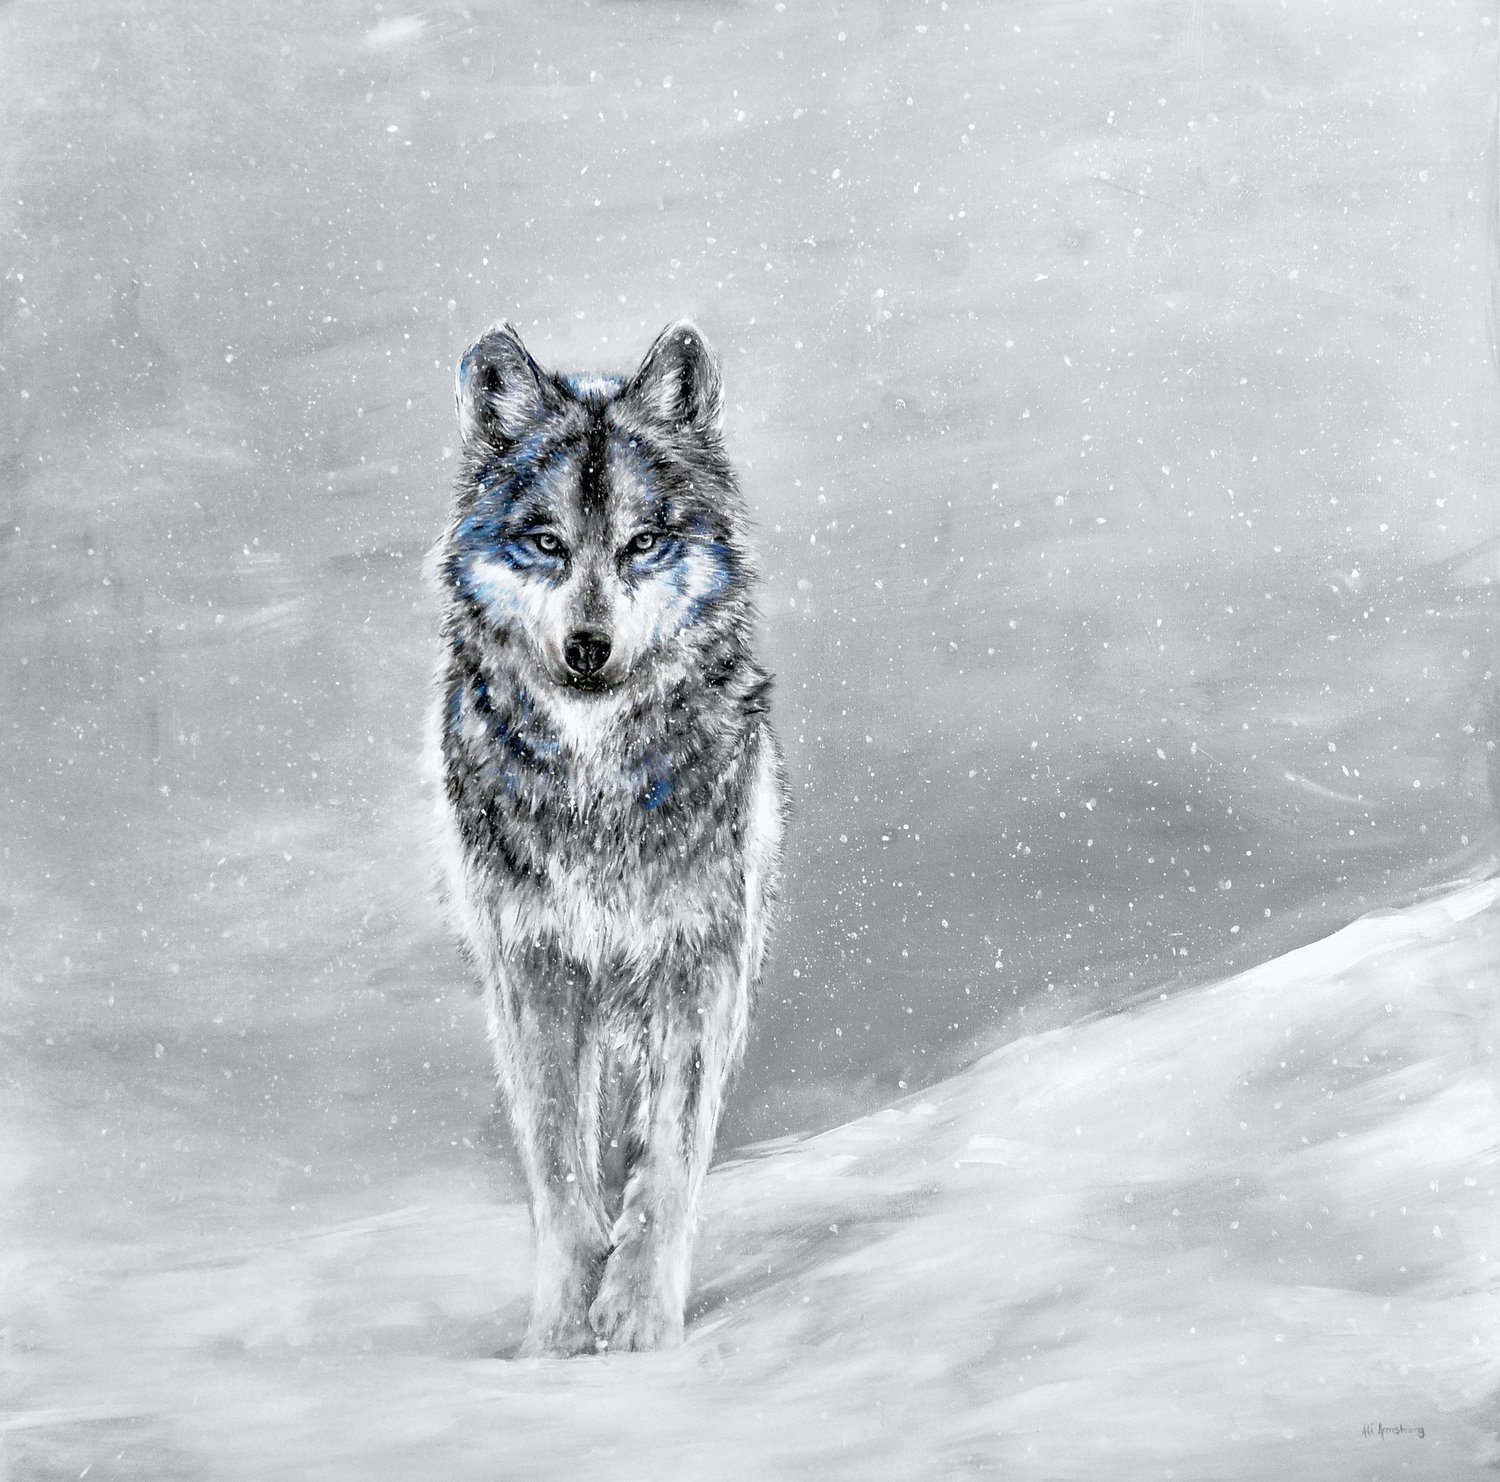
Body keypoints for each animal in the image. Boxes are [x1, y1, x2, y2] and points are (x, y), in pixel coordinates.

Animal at [431, 320, 786, 1355]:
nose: (588, 648)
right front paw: (556, 1335)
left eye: (644, 543)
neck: (598, 795)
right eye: (546, 543)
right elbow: (557, 1166)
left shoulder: (697, 966)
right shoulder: (534, 972)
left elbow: (666, 1161)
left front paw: (637, 1321)